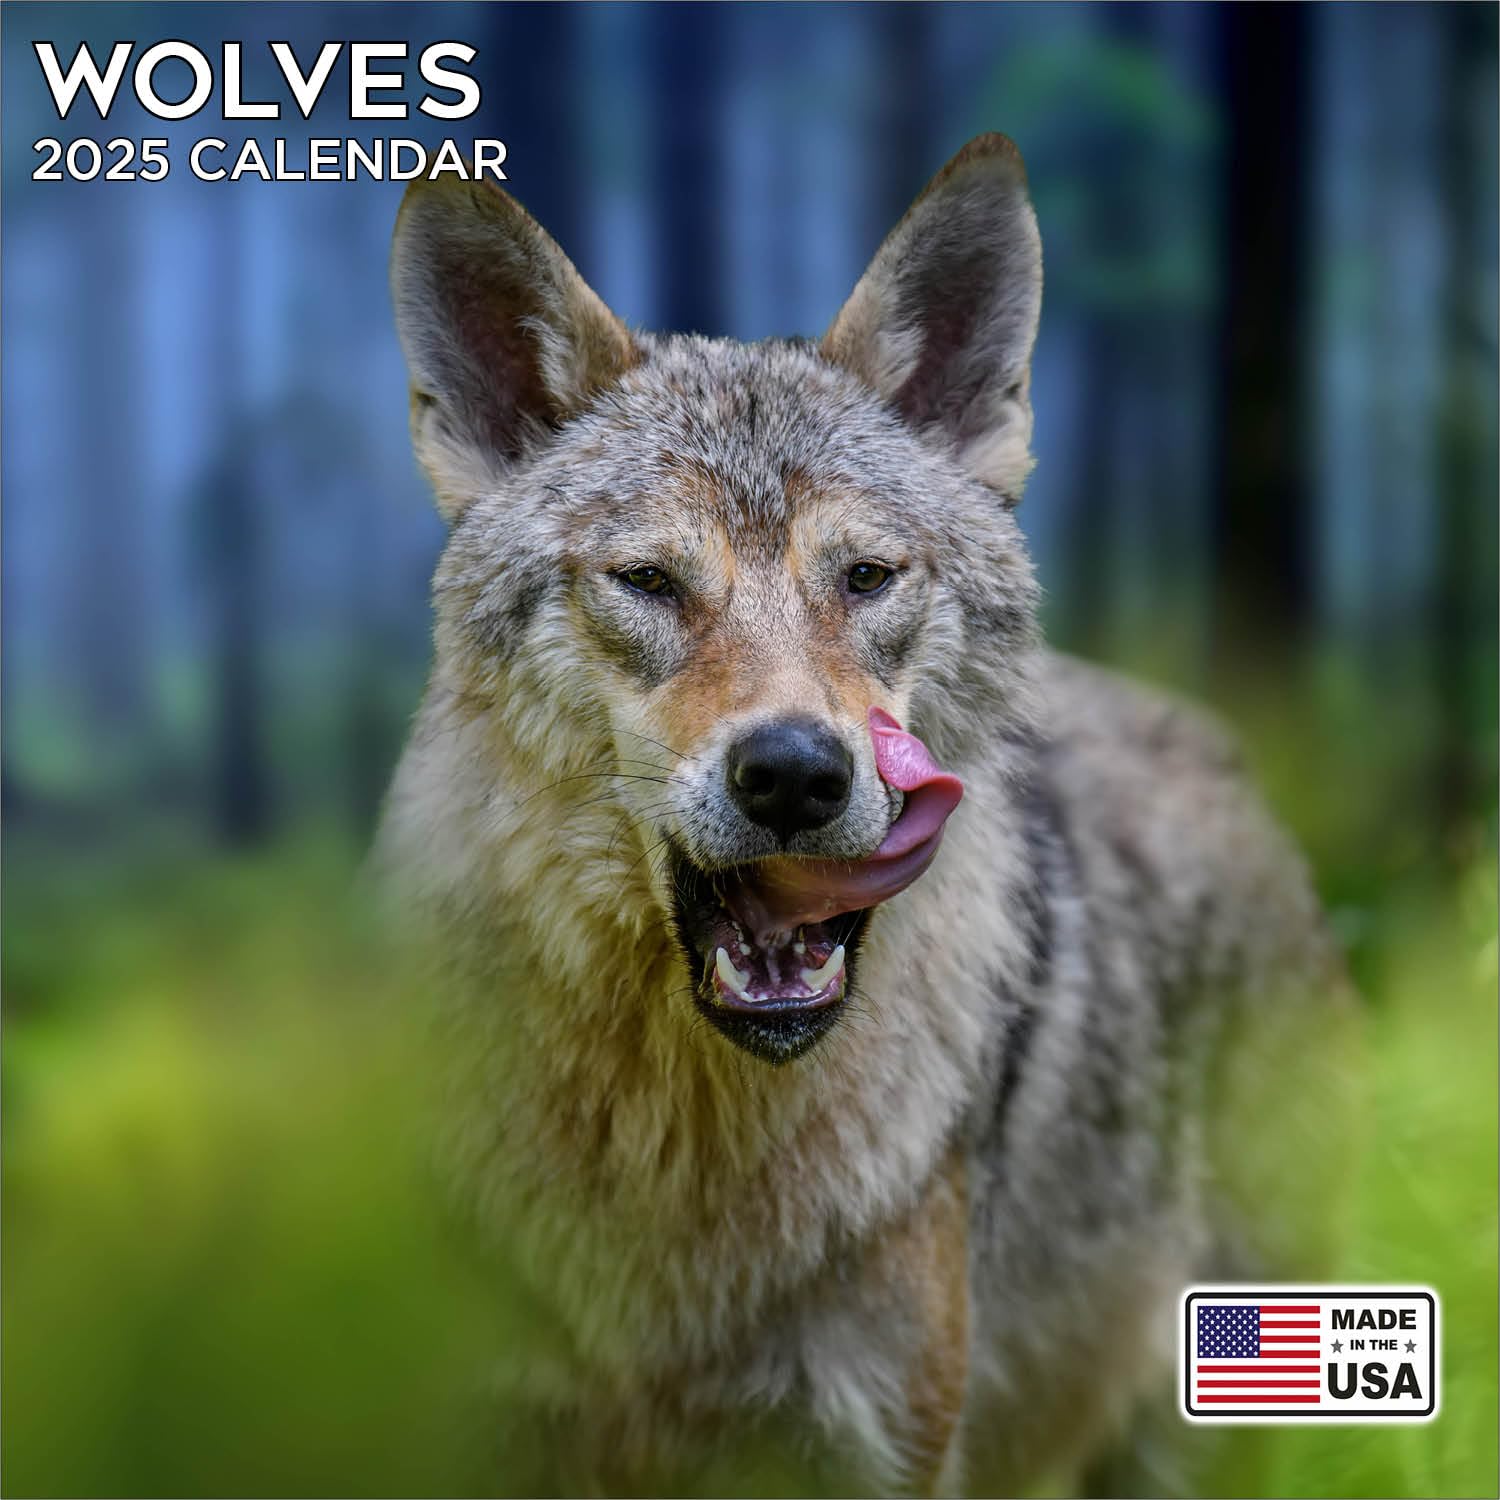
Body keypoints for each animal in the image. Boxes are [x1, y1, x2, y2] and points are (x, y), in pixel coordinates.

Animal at [375, 135, 1356, 1495]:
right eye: (650, 582)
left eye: (867, 578)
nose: (794, 772)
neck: (679, 1157)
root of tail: (1216, 748)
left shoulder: (882, 1445)